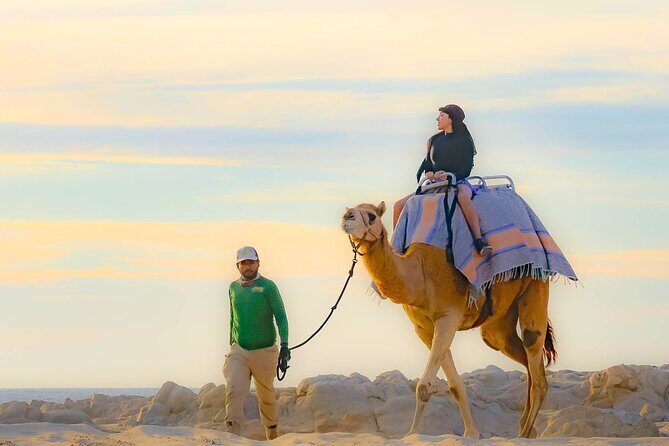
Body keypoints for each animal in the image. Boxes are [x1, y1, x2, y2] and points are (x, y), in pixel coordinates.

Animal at [341, 201, 556, 439]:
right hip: (499, 325)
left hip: (536, 283)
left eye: (371, 216)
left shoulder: (448, 318)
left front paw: (412, 434)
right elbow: (454, 385)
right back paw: (526, 428)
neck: (420, 276)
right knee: (517, 355)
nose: (347, 217)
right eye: (350, 210)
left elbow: (424, 386)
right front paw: (471, 433)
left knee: (536, 362)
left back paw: (524, 433)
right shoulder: (423, 328)